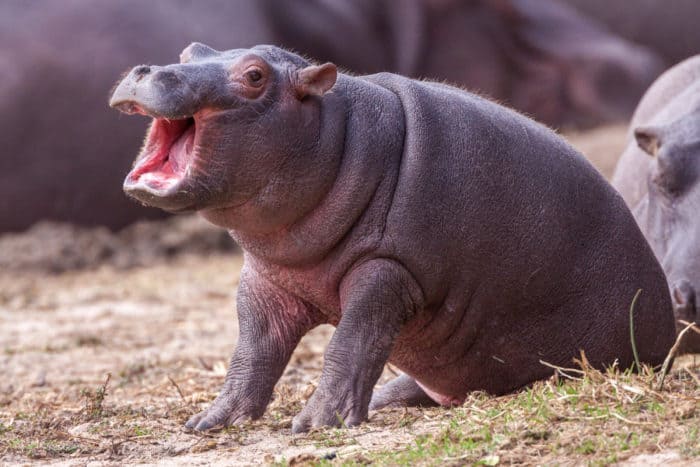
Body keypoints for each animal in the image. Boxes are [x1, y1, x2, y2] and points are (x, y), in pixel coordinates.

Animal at [109, 43, 675, 432]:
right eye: (190, 52)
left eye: (254, 75)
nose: (146, 69)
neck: (335, 137)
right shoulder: (266, 281)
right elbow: (252, 351)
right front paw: (210, 421)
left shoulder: (389, 270)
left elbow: (351, 342)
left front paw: (316, 425)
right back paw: (386, 401)